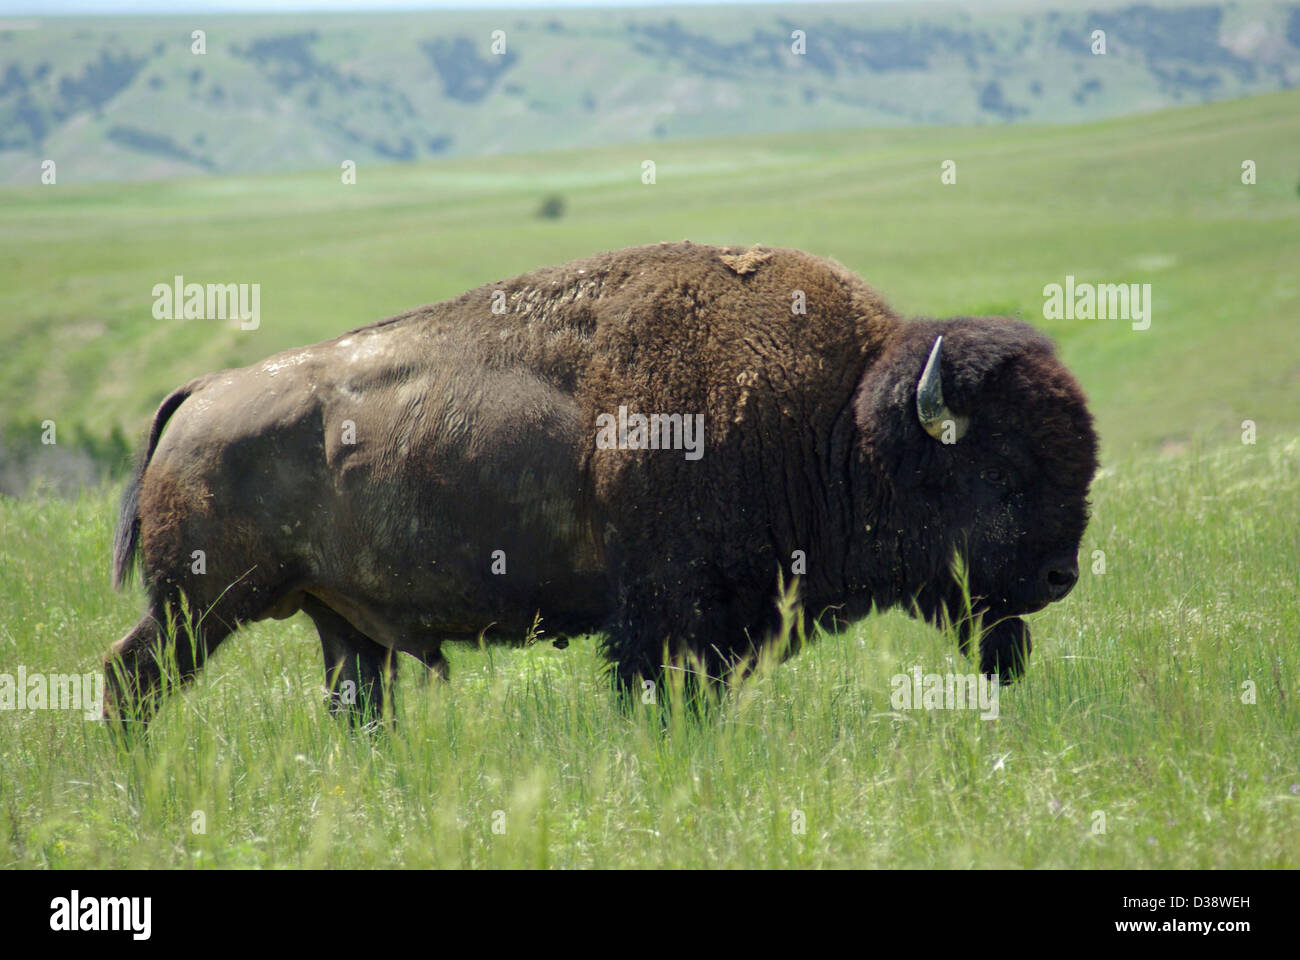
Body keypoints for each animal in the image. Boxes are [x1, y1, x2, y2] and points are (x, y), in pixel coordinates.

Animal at [104, 242, 1098, 726]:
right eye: (998, 470)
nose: (1061, 576)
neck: (838, 420)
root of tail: (198, 394)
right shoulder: (665, 617)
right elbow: (657, 690)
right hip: (199, 604)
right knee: (129, 678)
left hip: (340, 625)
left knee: (355, 706)